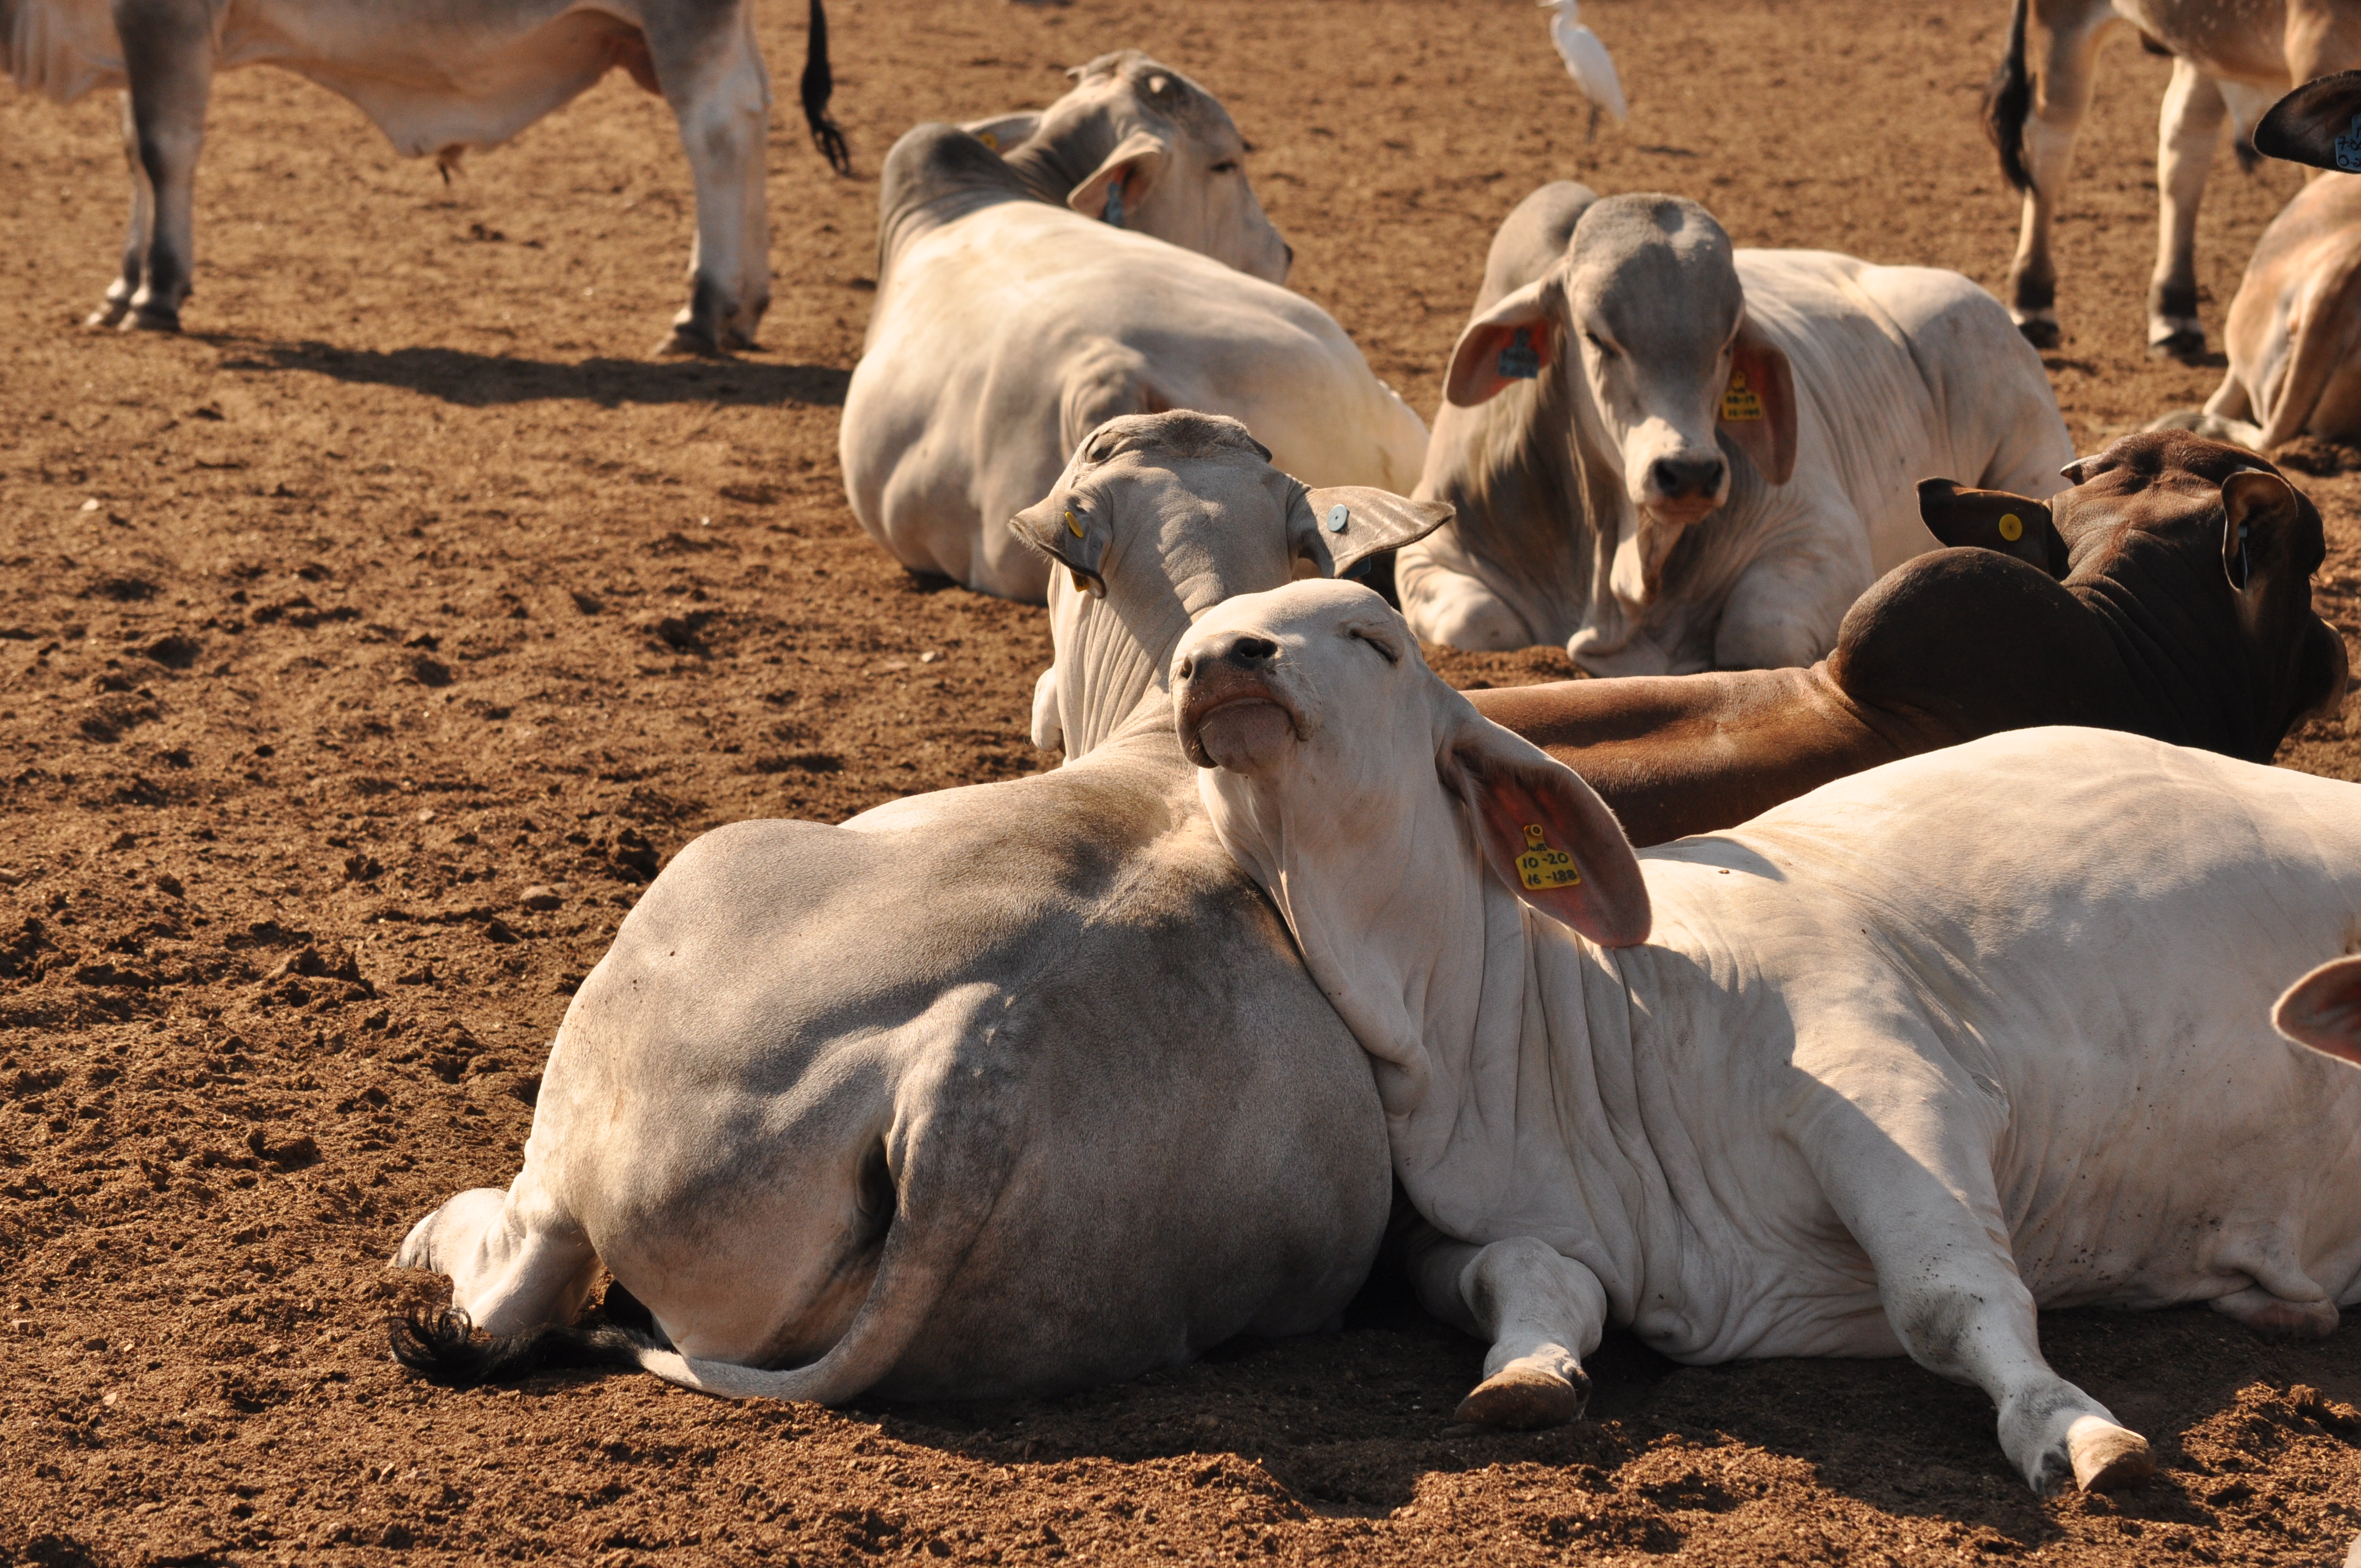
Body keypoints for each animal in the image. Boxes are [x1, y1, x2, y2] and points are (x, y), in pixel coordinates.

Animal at [0, 0, 849, 353]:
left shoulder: (161, 18)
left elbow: (161, 147)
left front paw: (157, 294)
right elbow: (133, 152)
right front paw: (122, 288)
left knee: (715, 124)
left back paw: (703, 309)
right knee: (752, 111)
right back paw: (744, 307)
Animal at [1172, 577, 2361, 1493]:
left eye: (1374, 638)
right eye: (1188, 643)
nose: (1217, 658)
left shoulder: (1887, 1076)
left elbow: (1948, 1294)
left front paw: (2069, 1426)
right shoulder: (1473, 1233)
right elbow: (1528, 1277)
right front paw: (1526, 1375)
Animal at [1395, 184, 2072, 676]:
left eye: (1727, 343)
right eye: (1596, 337)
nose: (1689, 472)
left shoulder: (1819, 538)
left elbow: (1760, 633)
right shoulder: (1432, 546)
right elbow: (1479, 621)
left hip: (2029, 446)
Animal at [1982, 0, 2361, 358]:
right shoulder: (2318, 43)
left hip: (2202, 44)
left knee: (2184, 144)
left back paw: (2174, 311)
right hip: (2063, 26)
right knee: (2050, 141)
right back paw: (2032, 302)